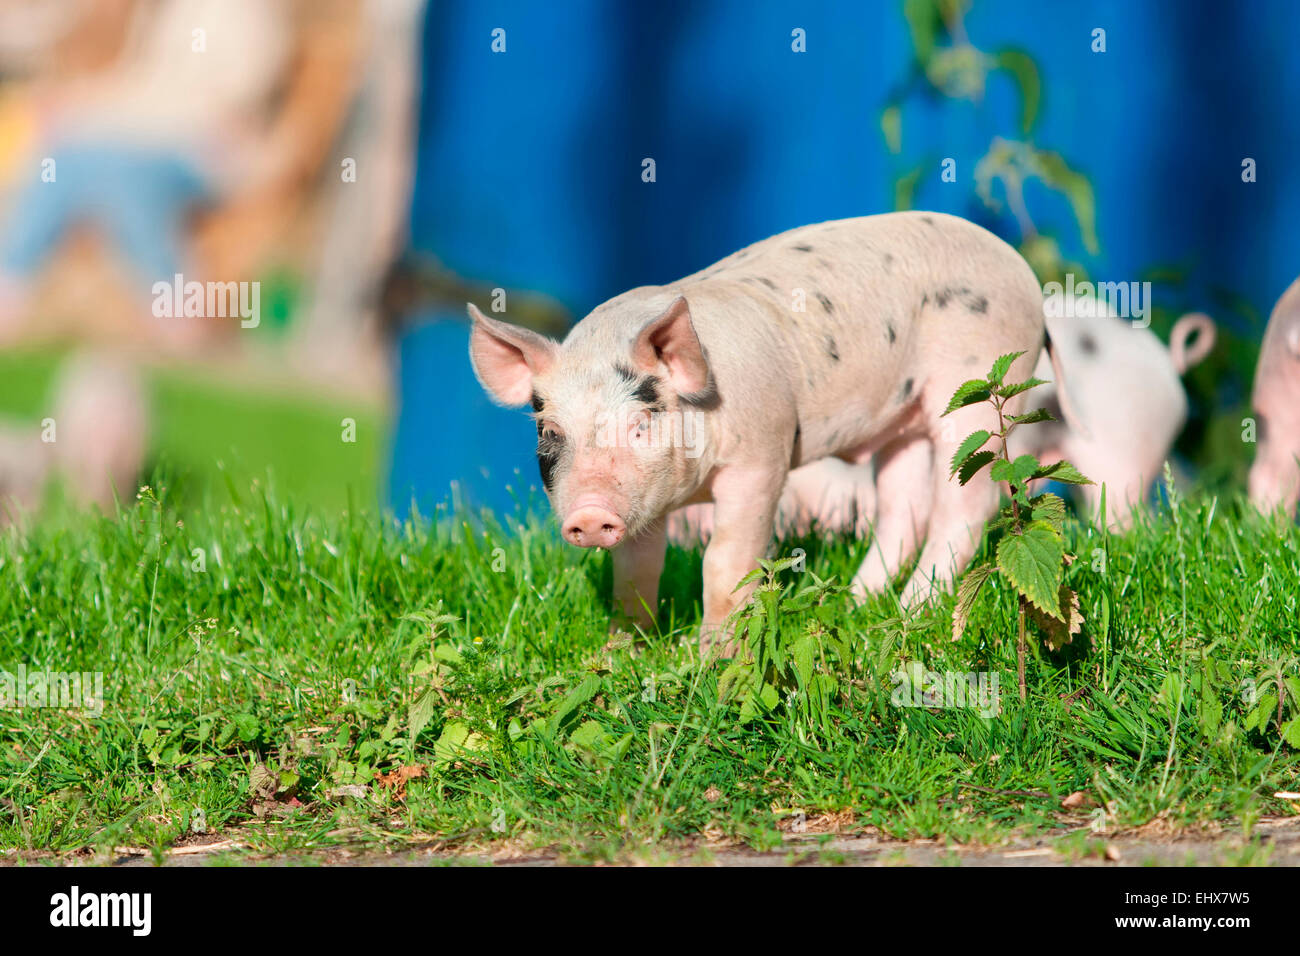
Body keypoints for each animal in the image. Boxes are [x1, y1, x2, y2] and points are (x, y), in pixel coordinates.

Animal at [468, 212, 1052, 649]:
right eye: (549, 430)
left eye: (641, 424)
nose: (590, 514)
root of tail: (1020, 270)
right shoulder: (644, 506)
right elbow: (636, 571)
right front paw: (620, 652)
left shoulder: (762, 458)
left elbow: (725, 561)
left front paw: (706, 655)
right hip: (898, 422)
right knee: (901, 508)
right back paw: (854, 607)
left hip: (976, 390)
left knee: (965, 506)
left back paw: (911, 611)